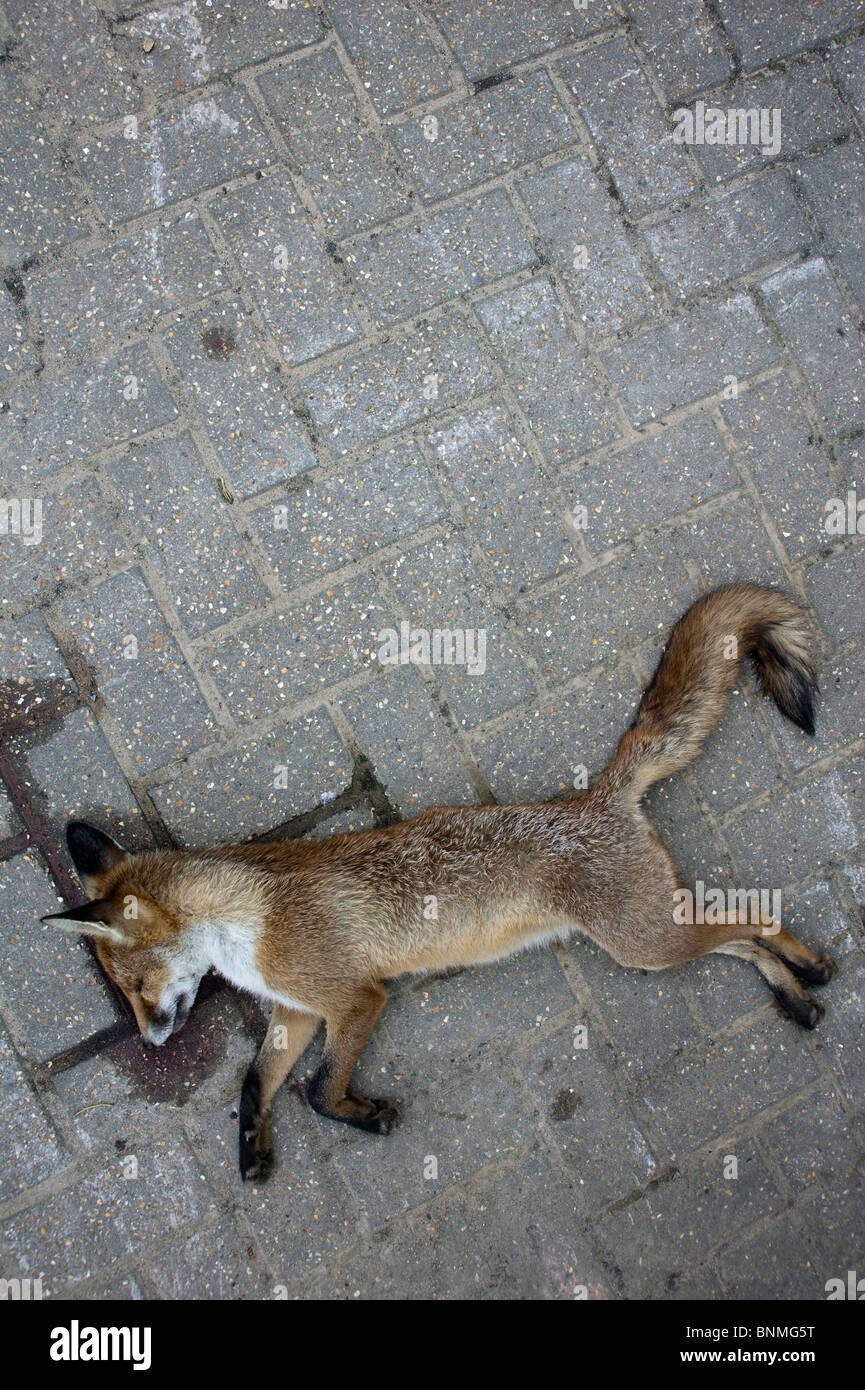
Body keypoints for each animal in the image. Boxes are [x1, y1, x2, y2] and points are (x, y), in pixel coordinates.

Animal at [42, 583, 835, 1182]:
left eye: (135, 989)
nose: (150, 1047)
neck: (247, 918)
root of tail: (593, 799)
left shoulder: (353, 998)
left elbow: (317, 1091)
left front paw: (365, 1116)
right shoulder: (297, 1010)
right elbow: (253, 1083)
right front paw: (250, 1149)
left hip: (644, 942)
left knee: (751, 918)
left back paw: (809, 967)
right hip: (651, 936)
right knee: (736, 936)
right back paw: (793, 994)